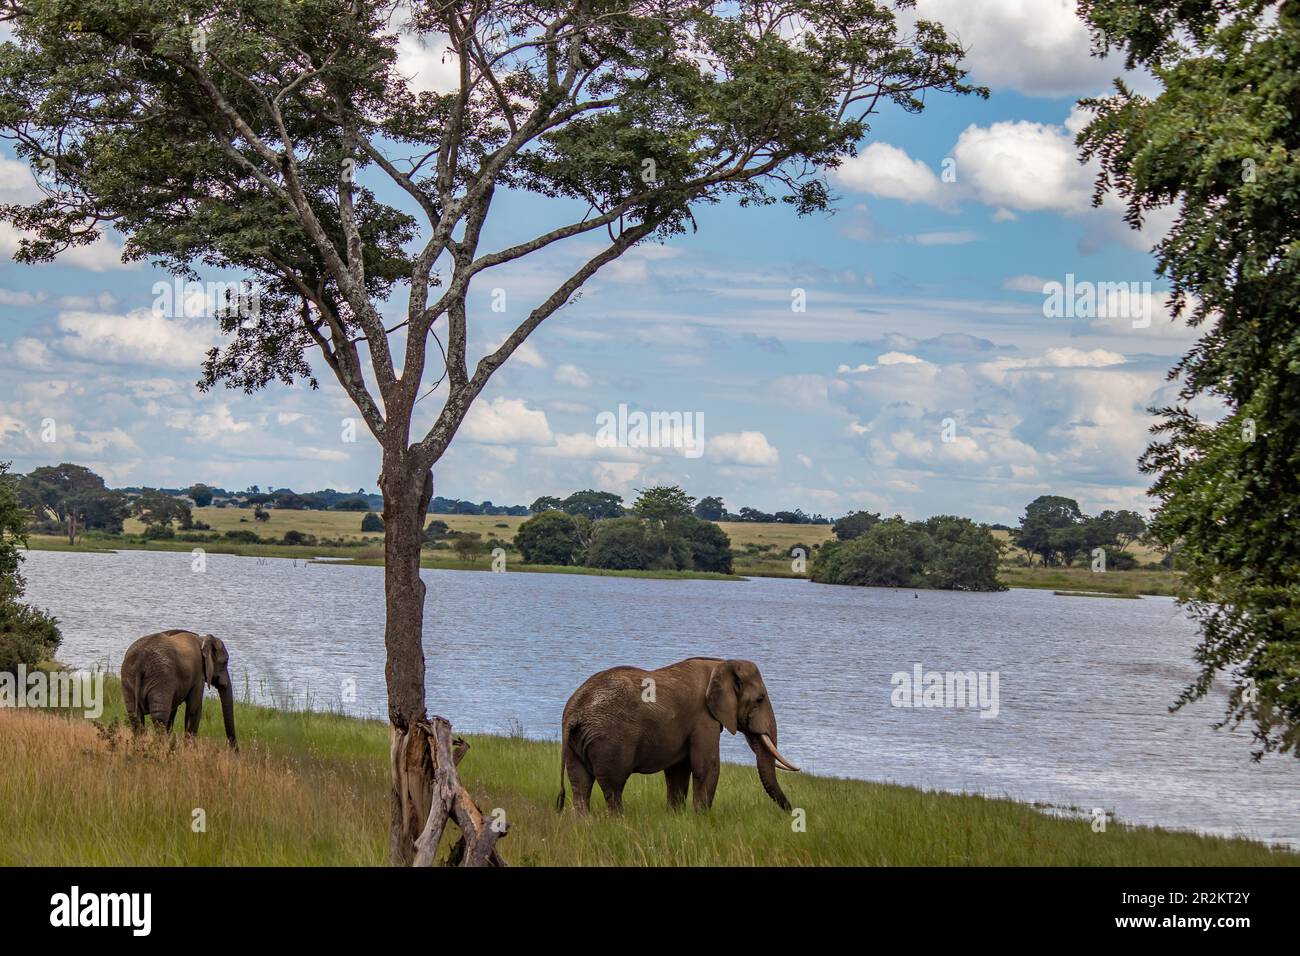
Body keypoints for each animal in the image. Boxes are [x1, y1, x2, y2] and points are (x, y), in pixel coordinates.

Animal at [556, 657, 799, 814]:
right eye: (759, 699)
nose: (791, 811)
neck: (721, 663)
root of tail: (573, 713)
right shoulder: (704, 718)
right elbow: (706, 767)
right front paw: (702, 820)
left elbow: (678, 771)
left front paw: (677, 818)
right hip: (609, 740)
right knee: (613, 786)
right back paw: (618, 822)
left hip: (577, 742)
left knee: (580, 784)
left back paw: (584, 822)